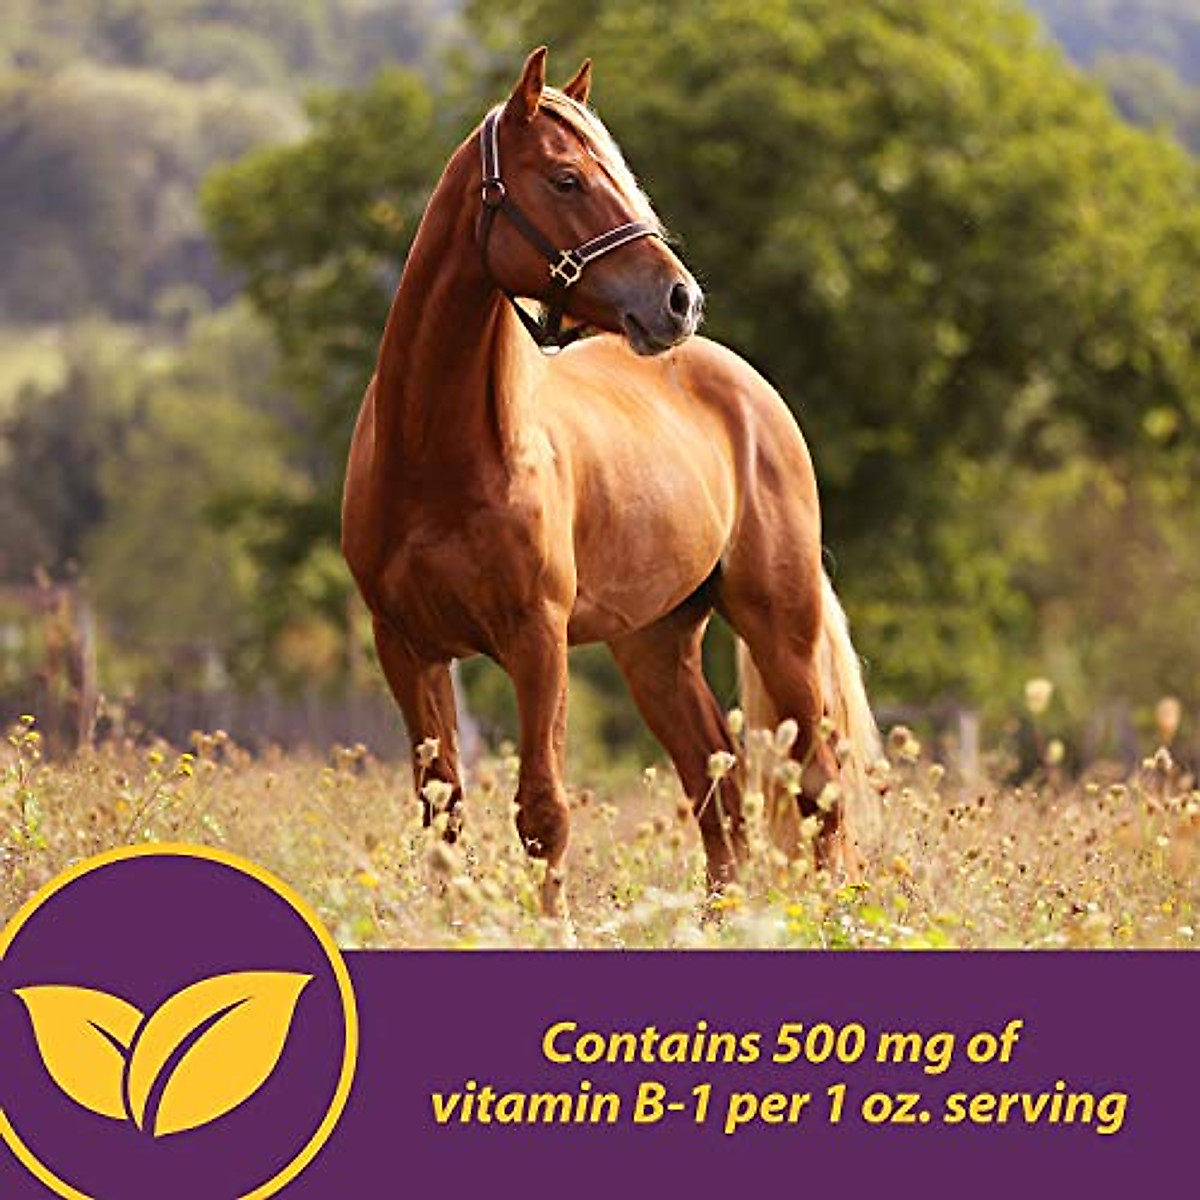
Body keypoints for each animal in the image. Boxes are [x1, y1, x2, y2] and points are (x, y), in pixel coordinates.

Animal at [342, 48, 880, 918]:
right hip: (655, 646)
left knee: (816, 786)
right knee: (718, 791)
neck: (437, 458)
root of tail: (748, 388)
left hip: (781, 626)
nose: (679, 300)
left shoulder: (536, 639)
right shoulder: (407, 647)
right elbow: (442, 814)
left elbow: (542, 812)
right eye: (566, 179)